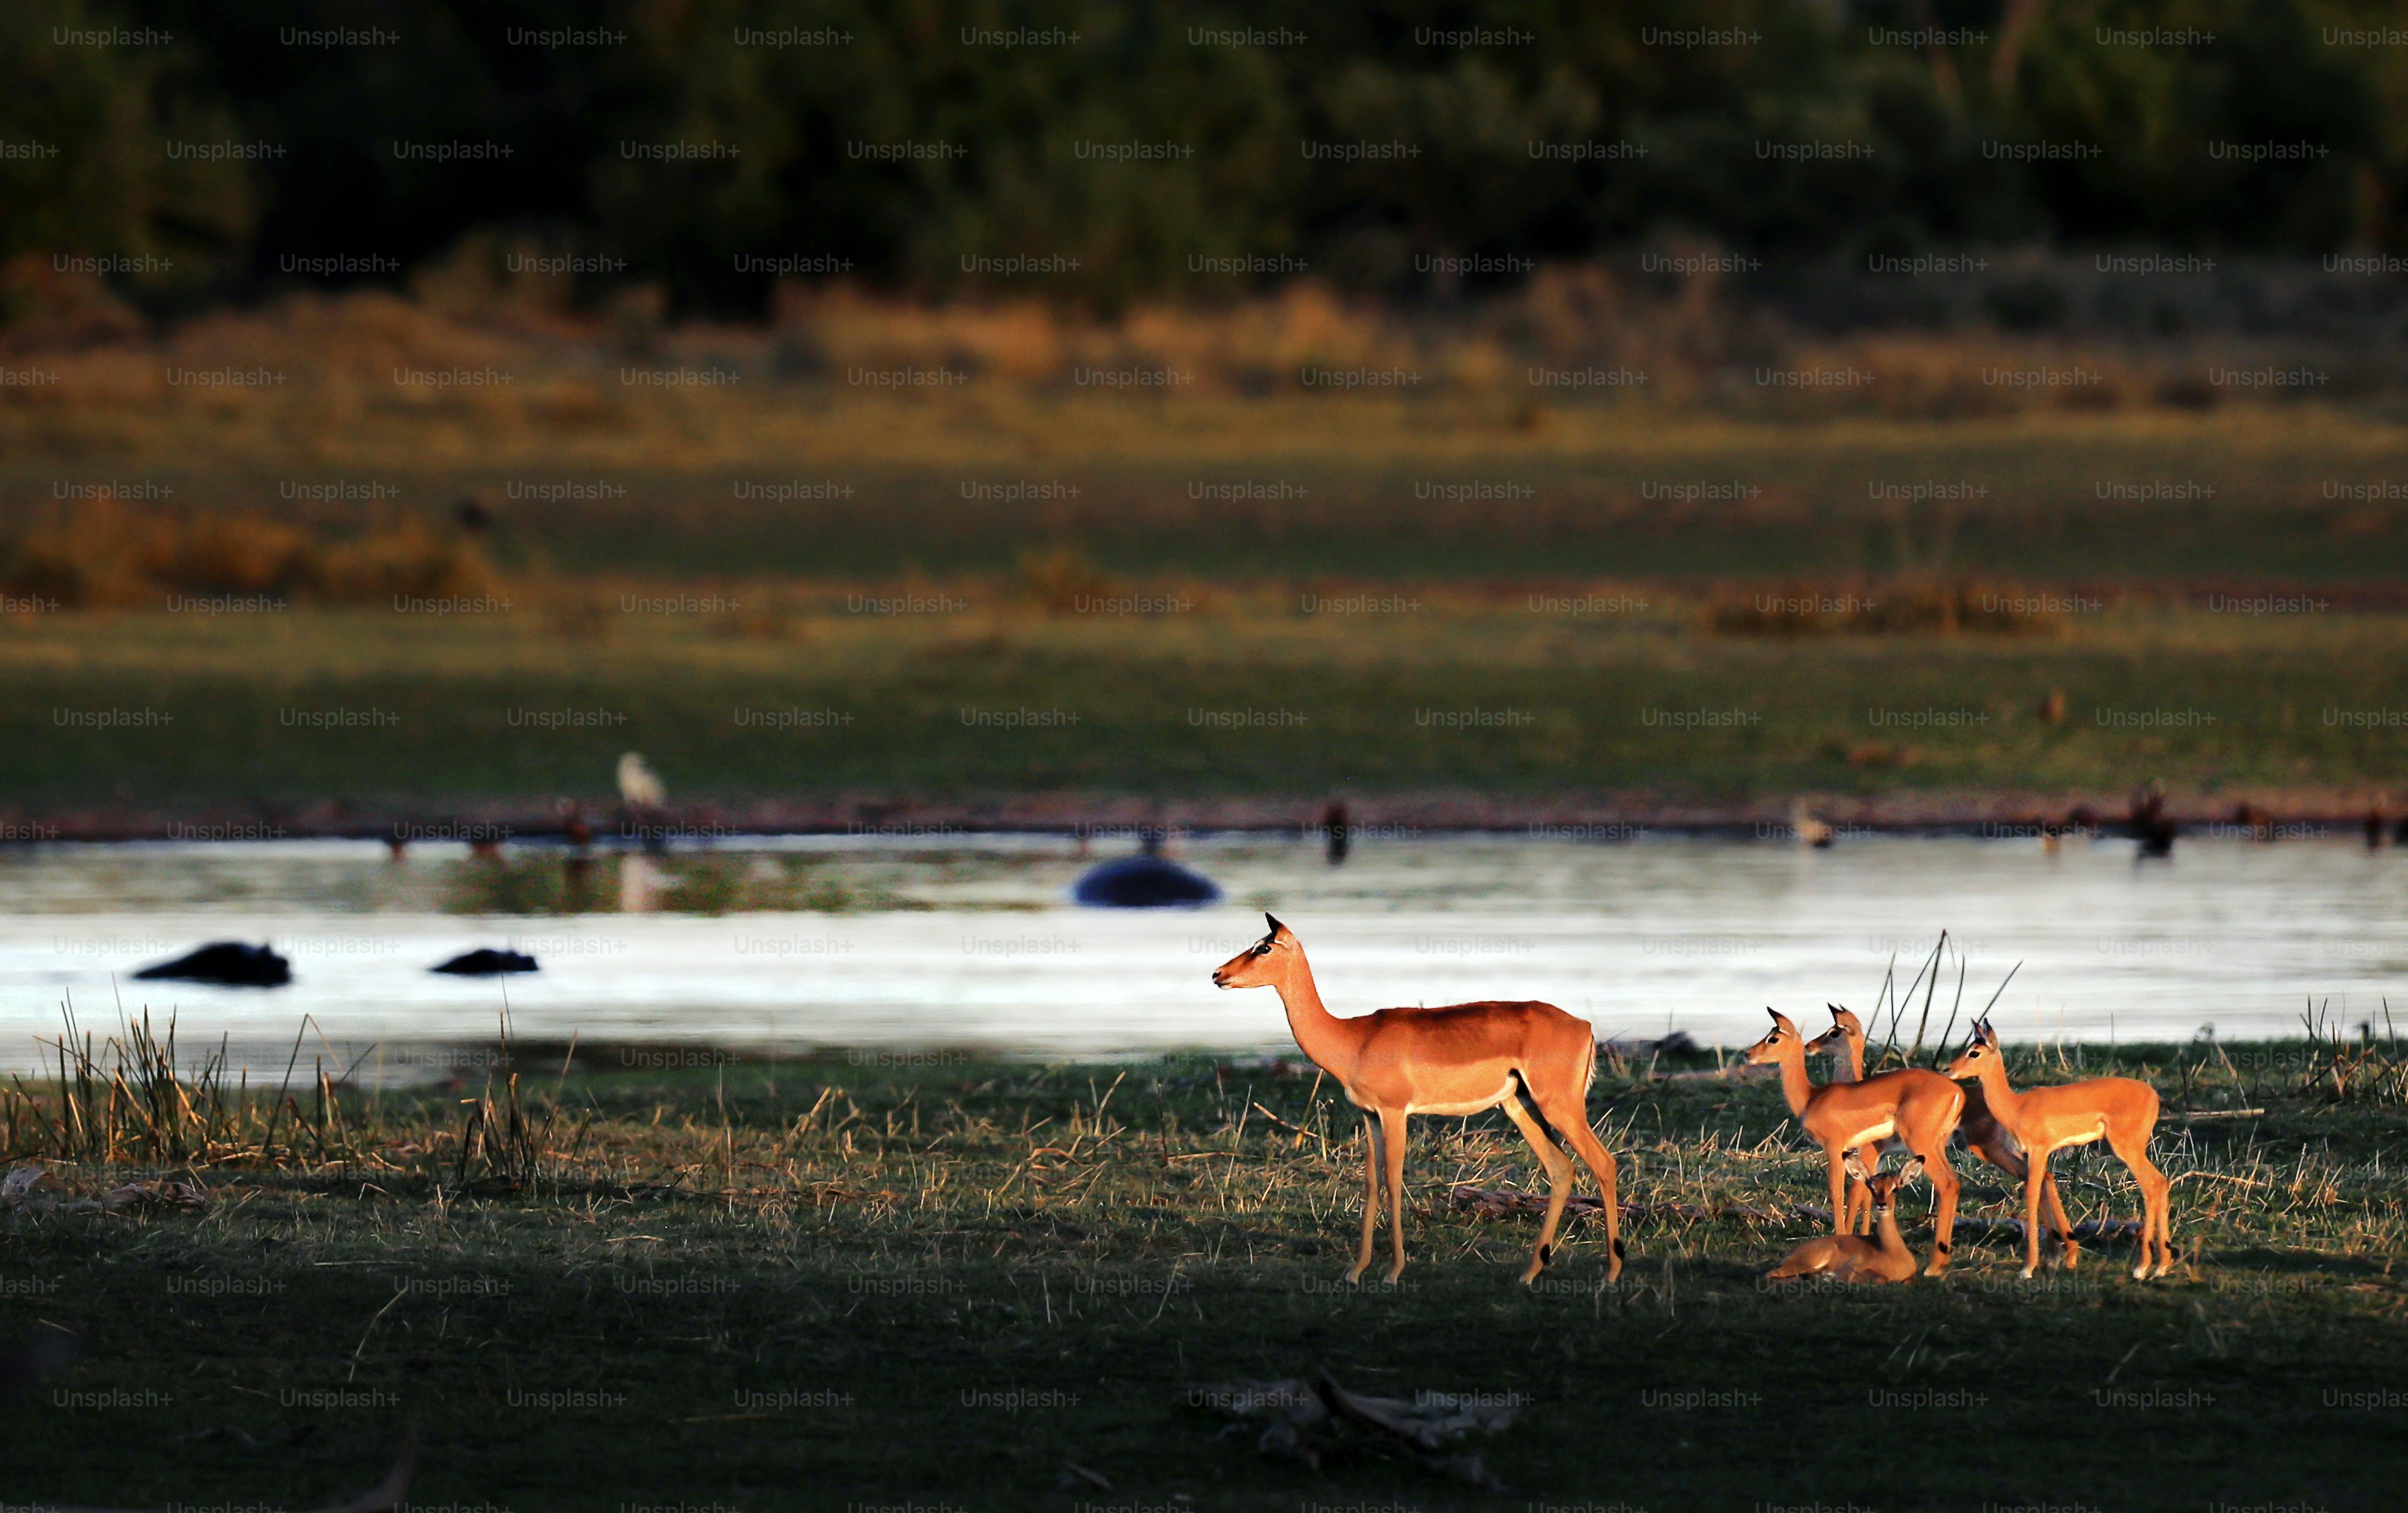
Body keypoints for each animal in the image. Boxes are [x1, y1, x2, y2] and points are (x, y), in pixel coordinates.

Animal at [1210, 915, 1622, 1285]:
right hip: (1520, 1106)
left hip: (1558, 1106)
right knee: (1562, 1169)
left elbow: (1394, 1179)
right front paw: (1356, 1272)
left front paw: (1393, 1271)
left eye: (1264, 947)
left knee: (1604, 1163)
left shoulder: (1395, 1112)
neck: (1353, 1039)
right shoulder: (1369, 1116)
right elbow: (1371, 1182)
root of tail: (1583, 1026)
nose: (1218, 974)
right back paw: (1530, 1272)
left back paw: (1611, 1273)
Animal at [1766, 1154, 1923, 1284]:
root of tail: (1791, 1252)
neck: (1891, 1252)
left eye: (1895, 1188)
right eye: (1872, 1187)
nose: (1882, 1204)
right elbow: (1878, 1278)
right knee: (1771, 1274)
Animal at [1807, 1005, 2074, 1257]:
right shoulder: (1875, 1157)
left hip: (1988, 1150)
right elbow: (1866, 1195)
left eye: (1834, 1032)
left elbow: (1856, 1195)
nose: (1810, 1046)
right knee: (2043, 1176)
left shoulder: (1869, 1153)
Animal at [1944, 1021, 2174, 1280]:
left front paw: (2027, 1268)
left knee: (2152, 1185)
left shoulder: (2039, 1151)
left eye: (1975, 1052)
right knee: (2161, 1182)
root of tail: (2153, 1095)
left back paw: (2141, 1268)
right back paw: (2161, 1267)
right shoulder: (2031, 1154)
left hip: (2127, 1148)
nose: (1948, 1069)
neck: (2017, 1106)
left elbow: (2032, 1194)